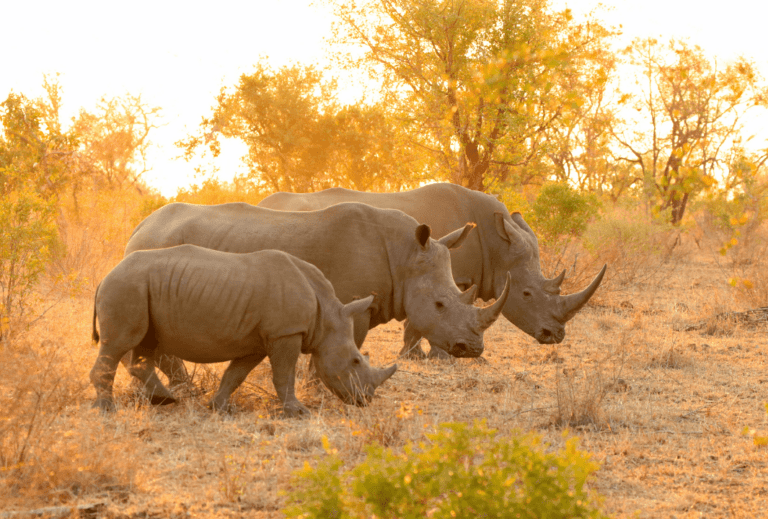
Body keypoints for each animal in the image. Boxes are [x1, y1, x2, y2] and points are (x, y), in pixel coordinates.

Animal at [91, 246, 398, 416]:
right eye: (356, 361)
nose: (366, 400)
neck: (327, 316)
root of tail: (106, 275)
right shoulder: (285, 333)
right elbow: (284, 375)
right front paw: (298, 412)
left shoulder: (260, 341)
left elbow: (235, 374)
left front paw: (218, 408)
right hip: (127, 286)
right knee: (119, 344)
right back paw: (108, 409)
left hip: (139, 288)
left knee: (145, 345)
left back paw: (164, 400)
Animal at [123, 202, 510, 381]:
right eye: (440, 304)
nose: (473, 349)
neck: (404, 255)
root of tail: (138, 227)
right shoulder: (353, 305)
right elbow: (344, 345)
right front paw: (320, 385)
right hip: (157, 247)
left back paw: (182, 388)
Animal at [259, 183, 606, 357]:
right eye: (527, 293)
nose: (555, 336)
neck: (498, 245)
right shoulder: (450, 274)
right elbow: (428, 318)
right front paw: (432, 357)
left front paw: (418, 355)